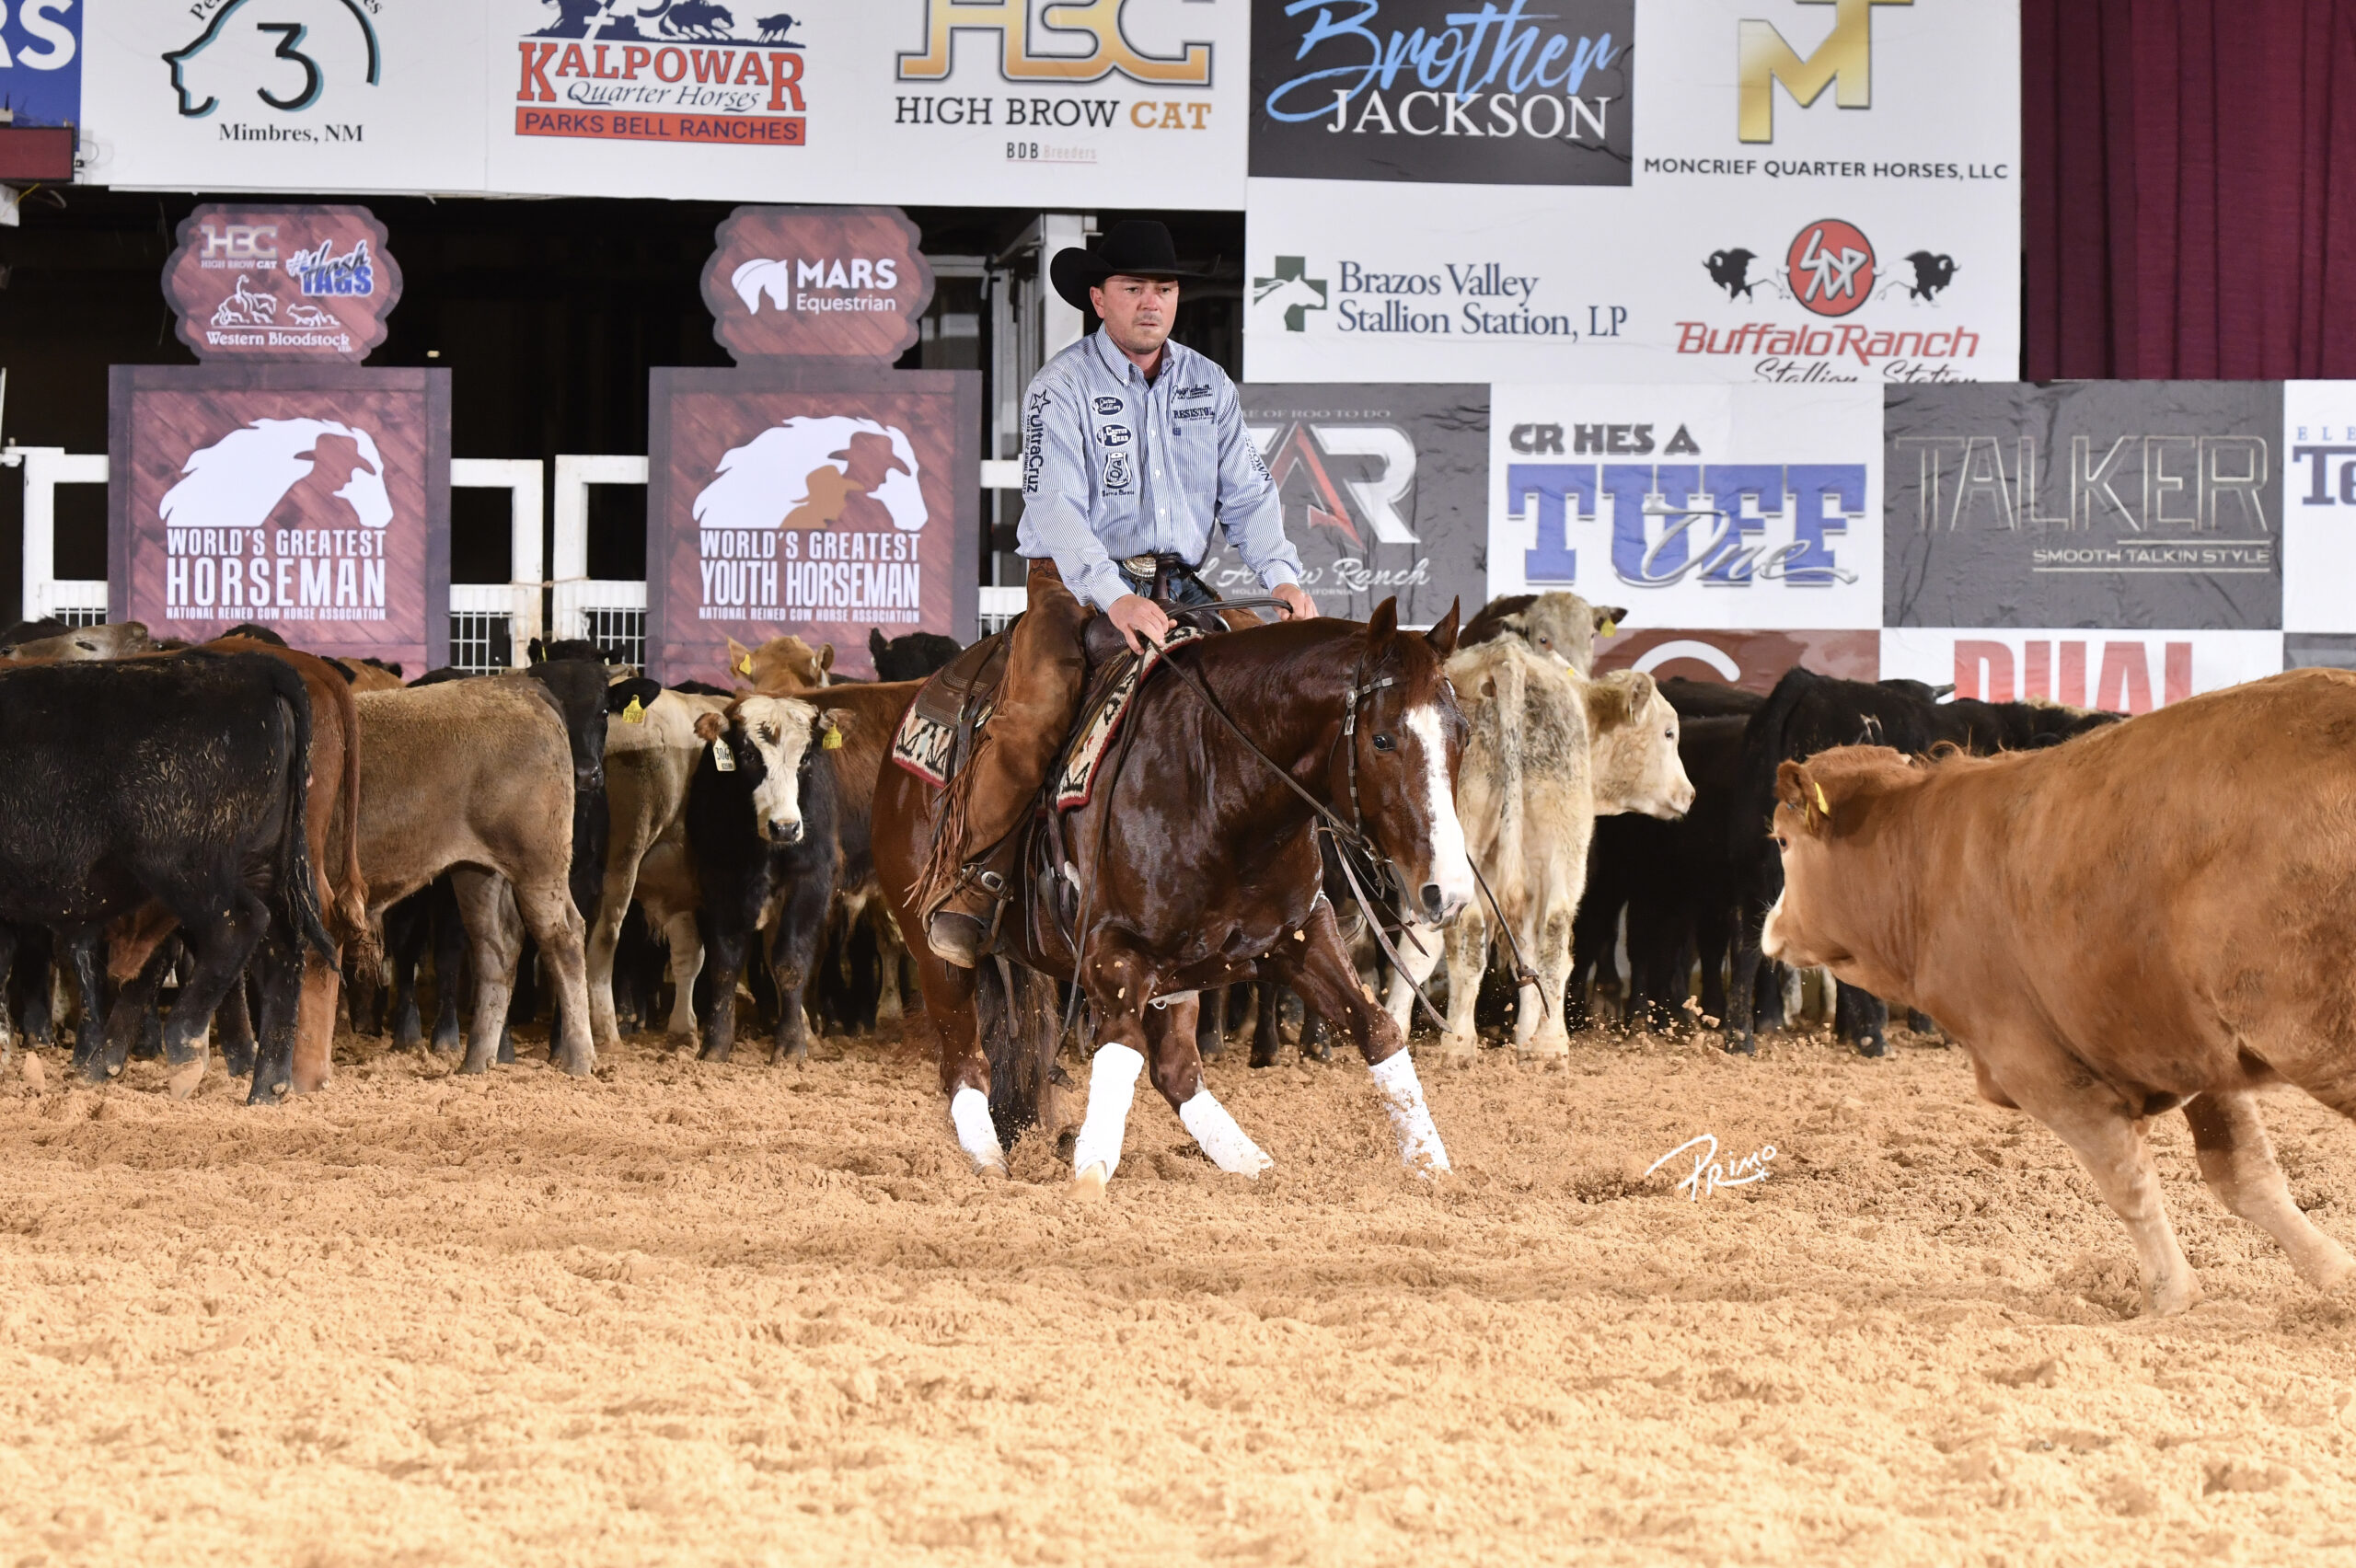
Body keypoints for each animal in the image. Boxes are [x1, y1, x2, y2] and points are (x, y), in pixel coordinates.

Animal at [0, 653, 335, 1101]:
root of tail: (253, 666)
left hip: (186, 864)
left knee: (239, 925)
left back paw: (185, 1050)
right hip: (261, 862)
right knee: (284, 944)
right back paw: (267, 1088)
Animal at [873, 598, 1476, 1194]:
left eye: (1464, 734)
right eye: (1382, 739)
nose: (1448, 891)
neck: (1220, 782)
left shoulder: (1303, 935)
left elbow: (1378, 1031)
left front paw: (1435, 1168)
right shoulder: (1112, 958)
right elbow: (1121, 1051)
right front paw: (1088, 1181)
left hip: (1177, 980)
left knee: (1177, 1072)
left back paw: (1255, 1165)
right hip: (938, 957)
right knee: (965, 1063)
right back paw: (989, 1162)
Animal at [1385, 639, 1692, 1061]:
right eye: (1668, 733)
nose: (1689, 794)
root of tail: (1505, 660)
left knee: (1517, 936)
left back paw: (1492, 1042)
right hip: (1556, 843)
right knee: (1536, 937)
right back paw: (1515, 1044)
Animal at [1759, 670, 2356, 1315]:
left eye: (1784, 843)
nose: (1772, 926)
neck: (1925, 870)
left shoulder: (2040, 1070)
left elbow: (2128, 1182)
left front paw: (2170, 1296)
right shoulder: (2193, 1048)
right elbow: (2245, 1175)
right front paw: (2334, 1272)